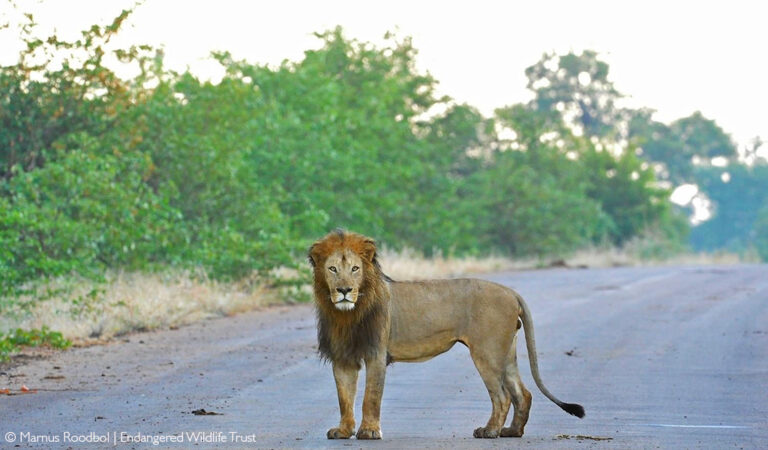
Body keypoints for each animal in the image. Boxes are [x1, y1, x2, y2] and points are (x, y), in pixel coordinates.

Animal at [308, 229, 584, 440]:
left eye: (355, 269)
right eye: (332, 269)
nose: (344, 290)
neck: (346, 314)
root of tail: (510, 291)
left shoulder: (376, 354)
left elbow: (371, 397)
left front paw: (369, 432)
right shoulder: (342, 358)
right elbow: (344, 397)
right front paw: (343, 431)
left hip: (487, 352)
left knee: (503, 396)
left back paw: (490, 431)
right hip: (506, 353)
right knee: (522, 393)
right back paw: (512, 431)